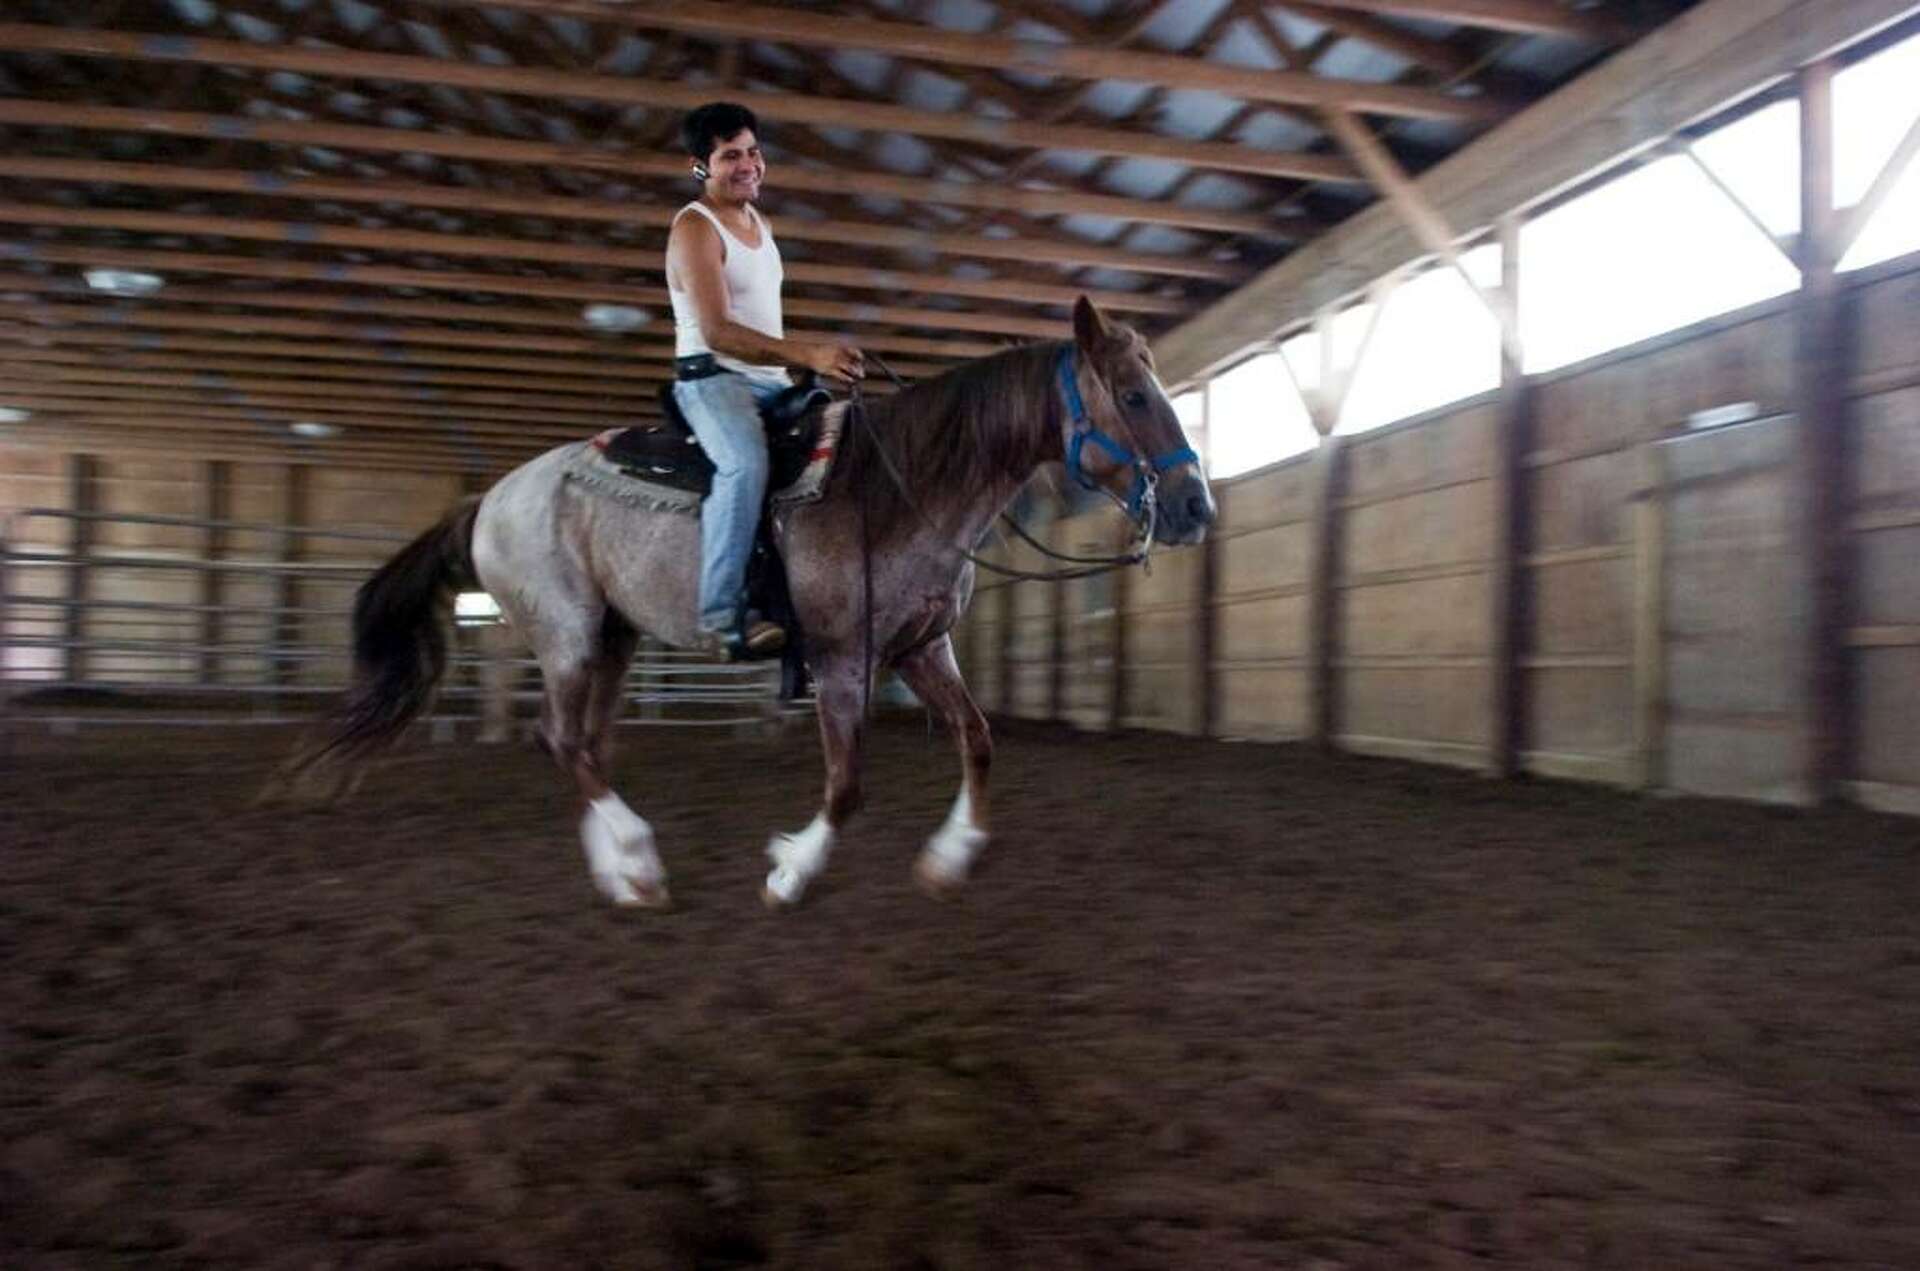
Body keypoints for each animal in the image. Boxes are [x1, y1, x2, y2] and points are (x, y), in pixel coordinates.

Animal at [292, 296, 1214, 908]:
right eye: (1135, 396)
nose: (1195, 506)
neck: (898, 487)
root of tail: (488, 498)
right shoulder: (841, 660)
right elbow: (845, 786)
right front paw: (789, 868)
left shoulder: (921, 648)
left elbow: (980, 741)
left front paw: (951, 856)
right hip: (566, 634)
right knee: (564, 736)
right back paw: (638, 857)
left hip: (614, 637)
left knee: (577, 741)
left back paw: (622, 870)